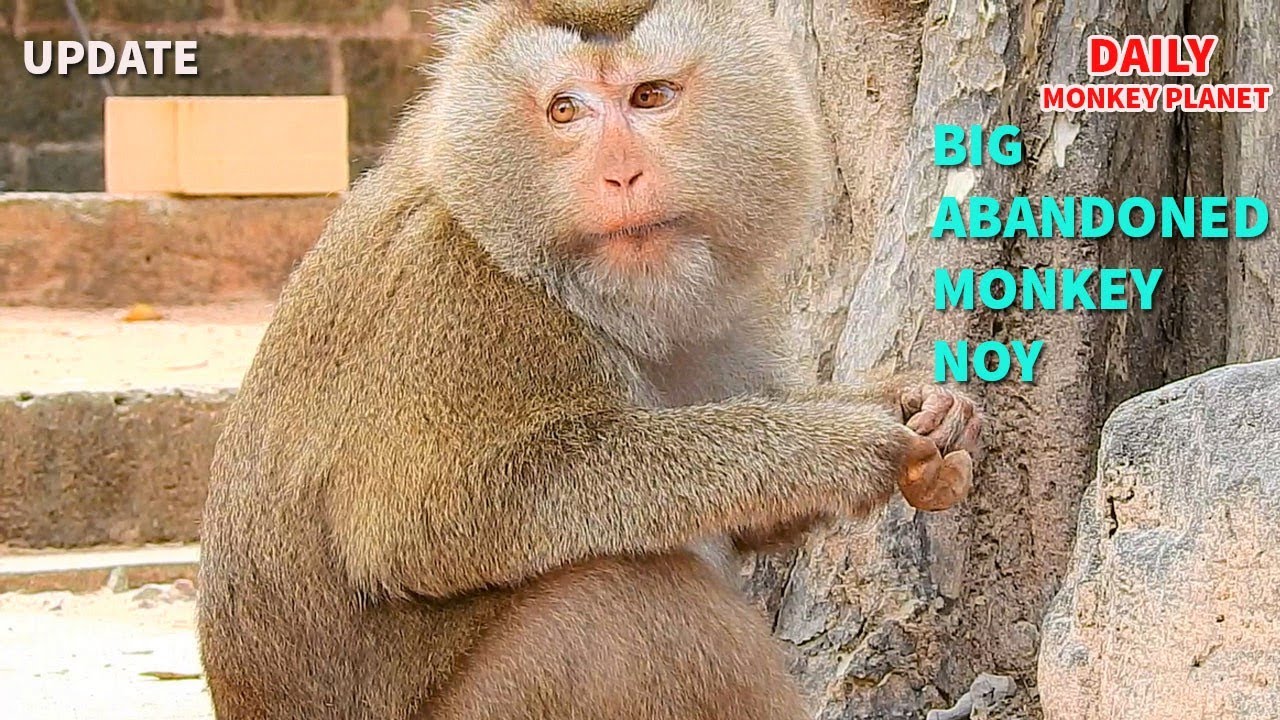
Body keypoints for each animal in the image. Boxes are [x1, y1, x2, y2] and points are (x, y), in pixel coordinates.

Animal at [196, 0, 982, 717]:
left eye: (650, 97)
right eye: (565, 110)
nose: (621, 176)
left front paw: (910, 403)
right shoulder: (456, 299)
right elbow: (423, 522)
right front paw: (833, 445)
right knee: (620, 605)